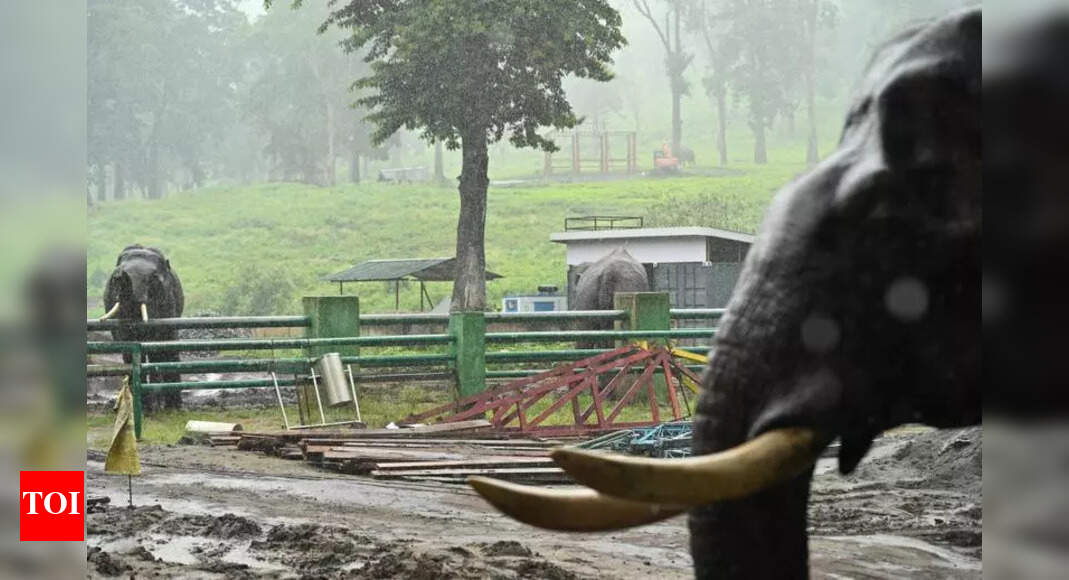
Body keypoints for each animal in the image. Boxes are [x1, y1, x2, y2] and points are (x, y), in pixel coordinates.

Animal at [100, 244, 185, 412]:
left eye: (153, 279)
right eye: (115, 278)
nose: (121, 275)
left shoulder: (168, 301)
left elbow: (162, 343)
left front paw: (172, 409)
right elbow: (127, 343)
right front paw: (145, 408)